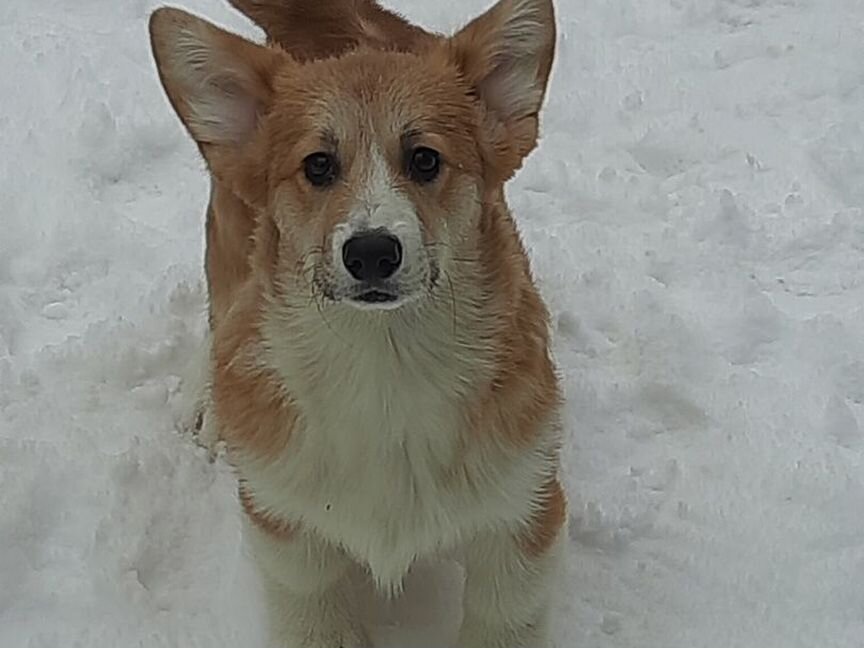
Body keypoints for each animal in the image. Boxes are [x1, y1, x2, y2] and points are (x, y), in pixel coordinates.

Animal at [148, 1, 568, 644]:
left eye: (425, 159)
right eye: (318, 165)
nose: (371, 253)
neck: (383, 365)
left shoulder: (522, 517)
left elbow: (500, 618)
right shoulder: (289, 533)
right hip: (229, 233)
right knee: (225, 307)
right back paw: (209, 400)